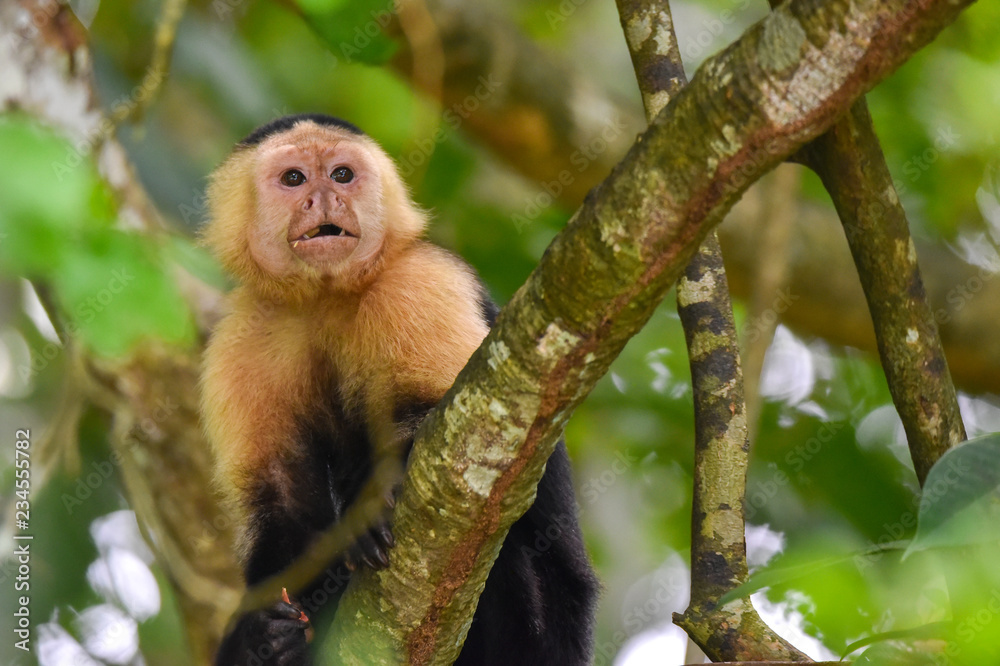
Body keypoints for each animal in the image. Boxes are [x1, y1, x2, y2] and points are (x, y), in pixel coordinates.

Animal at [200, 113, 599, 666]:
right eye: (295, 179)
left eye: (342, 175)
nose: (325, 199)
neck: (324, 297)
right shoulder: (242, 338)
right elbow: (285, 505)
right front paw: (258, 638)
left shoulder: (421, 280)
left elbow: (466, 443)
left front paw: (370, 501)